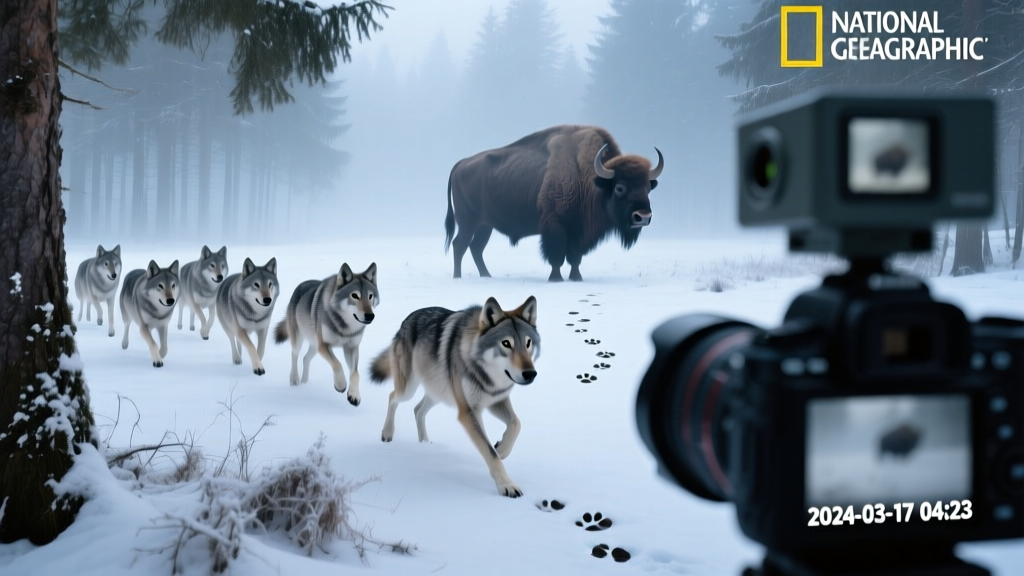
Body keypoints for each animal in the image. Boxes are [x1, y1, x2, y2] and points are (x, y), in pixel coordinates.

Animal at [273, 263, 378, 406]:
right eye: (354, 295)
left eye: (370, 296)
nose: (370, 316)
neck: (345, 328)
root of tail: (301, 284)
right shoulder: (323, 345)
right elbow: (337, 364)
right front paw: (340, 385)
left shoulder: (351, 347)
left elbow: (355, 374)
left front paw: (354, 396)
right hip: (300, 340)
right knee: (294, 355)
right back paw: (295, 380)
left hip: (314, 345)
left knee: (305, 358)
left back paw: (304, 383)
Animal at [370, 296, 540, 497]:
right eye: (506, 343)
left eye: (528, 343)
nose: (530, 374)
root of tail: (406, 320)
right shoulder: (468, 411)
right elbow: (490, 452)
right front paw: (507, 485)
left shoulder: (496, 400)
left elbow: (516, 423)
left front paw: (502, 449)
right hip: (409, 389)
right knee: (392, 397)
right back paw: (387, 433)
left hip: (439, 392)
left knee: (418, 410)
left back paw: (425, 444)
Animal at [444, 125, 664, 282]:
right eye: (619, 187)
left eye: (648, 187)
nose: (643, 217)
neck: (589, 179)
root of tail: (461, 163)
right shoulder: (555, 225)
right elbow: (557, 257)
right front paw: (556, 279)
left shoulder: (578, 230)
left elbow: (575, 257)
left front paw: (576, 278)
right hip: (468, 222)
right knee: (460, 244)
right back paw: (458, 277)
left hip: (485, 225)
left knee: (476, 248)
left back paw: (486, 276)